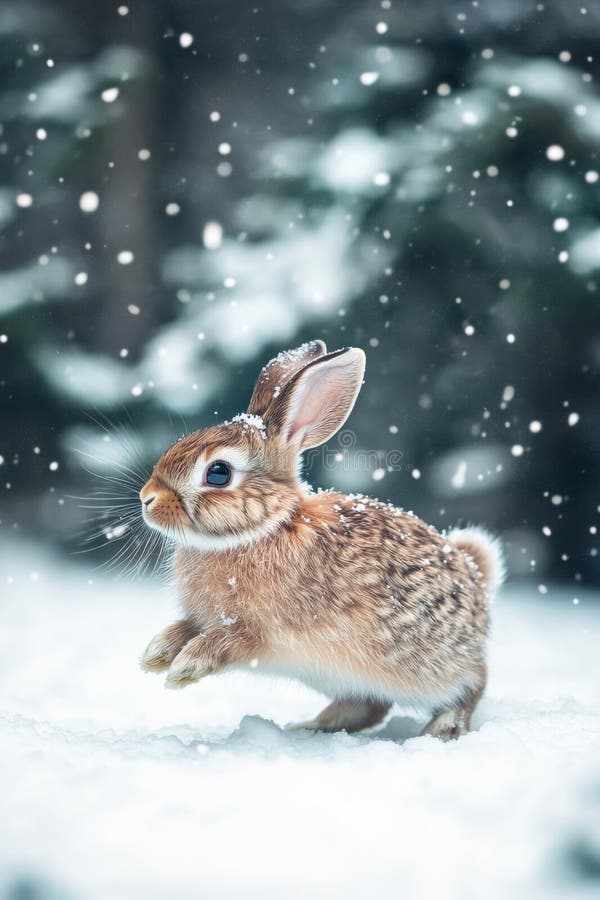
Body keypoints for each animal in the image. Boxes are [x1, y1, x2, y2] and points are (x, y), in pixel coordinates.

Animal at [139, 340, 504, 741]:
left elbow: (227, 641)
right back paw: (311, 727)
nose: (146, 499)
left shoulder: (261, 633)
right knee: (371, 706)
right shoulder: (204, 619)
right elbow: (185, 628)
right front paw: (156, 653)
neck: (268, 527)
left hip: (425, 666)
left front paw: (185, 666)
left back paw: (442, 729)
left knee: (473, 681)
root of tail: (477, 577)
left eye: (218, 473)